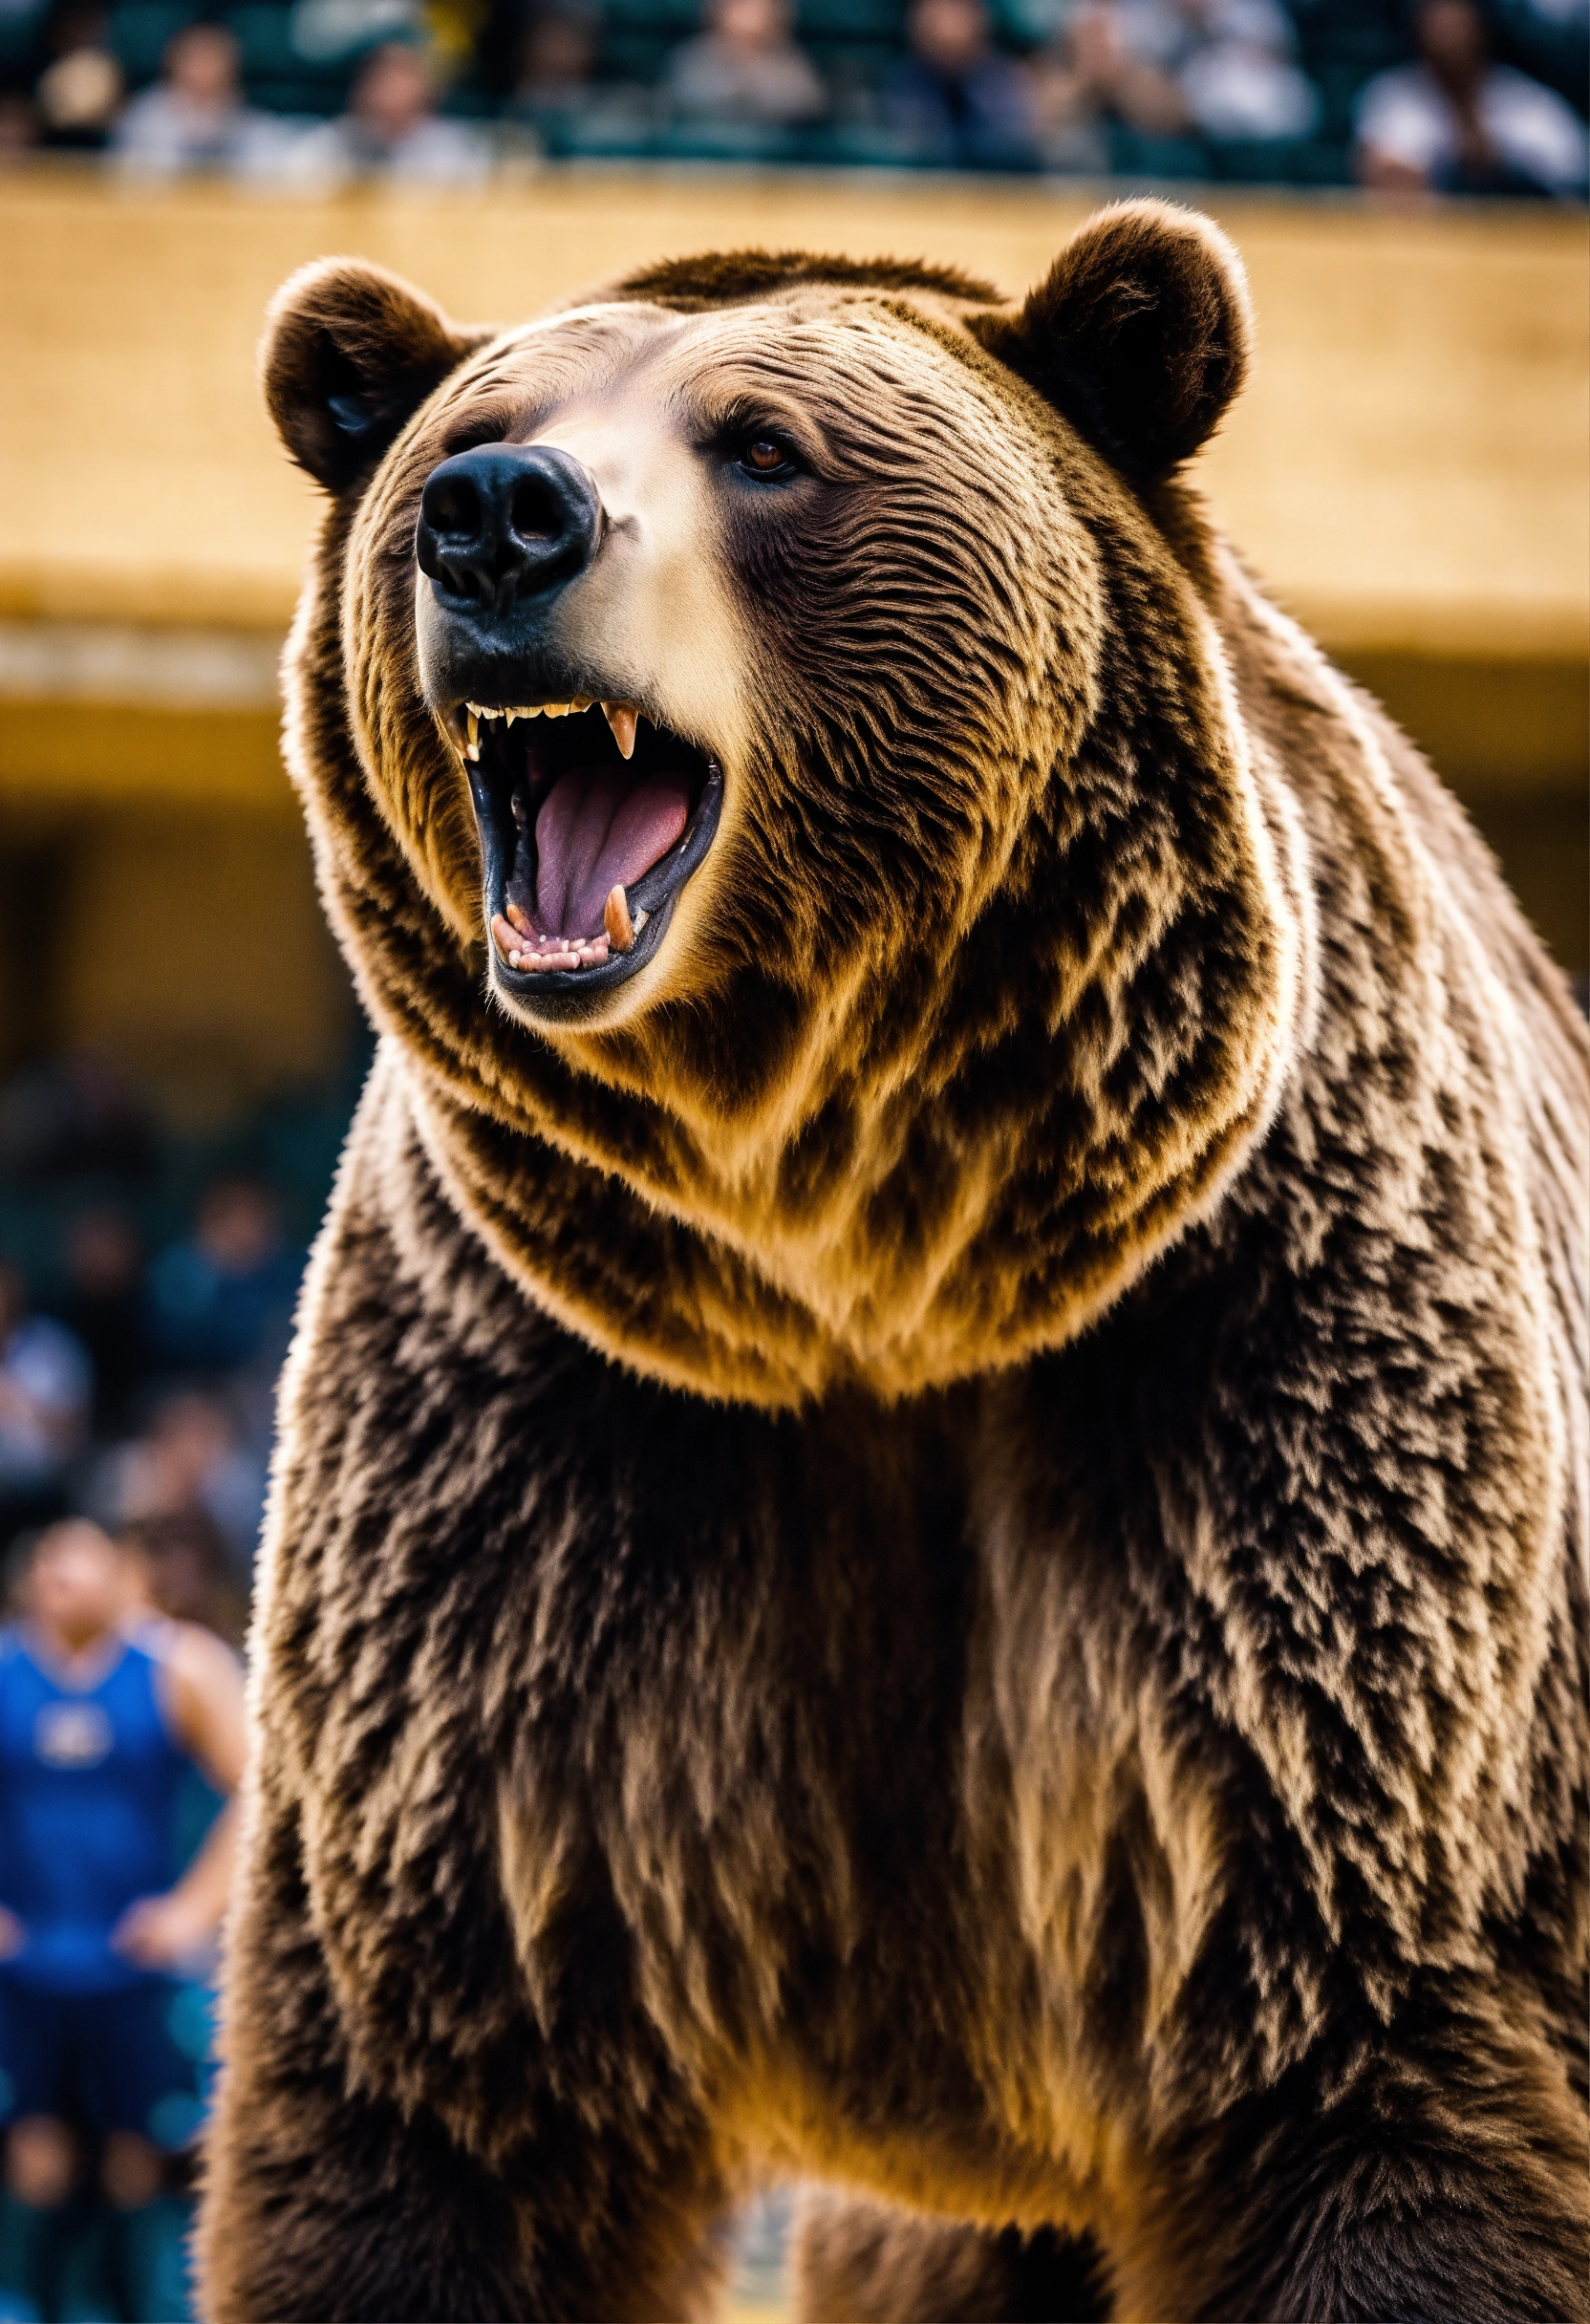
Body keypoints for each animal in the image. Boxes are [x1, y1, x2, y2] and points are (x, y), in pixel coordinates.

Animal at [196, 200, 1588, 2322]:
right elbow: (440, 2100)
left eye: (762, 446)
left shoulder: (1269, 1428)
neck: (868, 1261)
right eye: (475, 431)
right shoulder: (529, 1485)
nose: (499, 521)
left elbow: (1358, 2059)